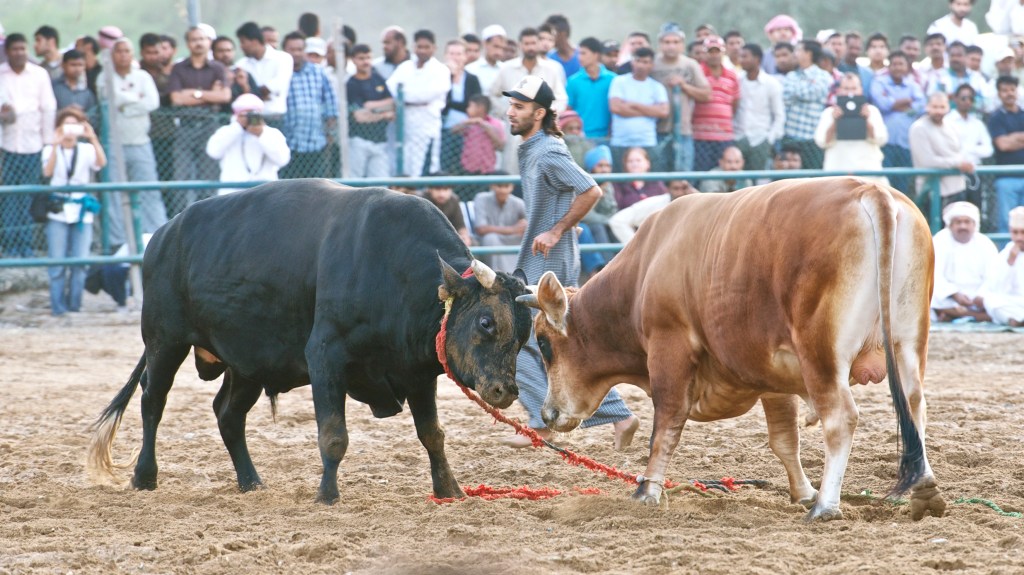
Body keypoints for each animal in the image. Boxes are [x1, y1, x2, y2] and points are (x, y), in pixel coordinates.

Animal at [87, 179, 534, 504]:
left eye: (526, 332)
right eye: (486, 322)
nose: (506, 390)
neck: (391, 268)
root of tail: (163, 235)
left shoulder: (417, 372)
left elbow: (432, 434)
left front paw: (448, 489)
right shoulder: (325, 358)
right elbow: (334, 436)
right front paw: (327, 495)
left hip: (248, 363)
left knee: (228, 414)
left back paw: (251, 481)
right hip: (164, 341)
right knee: (152, 402)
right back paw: (145, 476)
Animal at [517, 178, 946, 522]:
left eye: (544, 343)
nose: (548, 413)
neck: (647, 266)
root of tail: (870, 191)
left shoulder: (668, 349)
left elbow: (666, 426)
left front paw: (647, 490)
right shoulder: (773, 375)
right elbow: (784, 440)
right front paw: (803, 492)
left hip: (821, 356)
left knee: (841, 418)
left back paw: (828, 506)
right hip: (908, 344)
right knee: (915, 406)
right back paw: (922, 489)